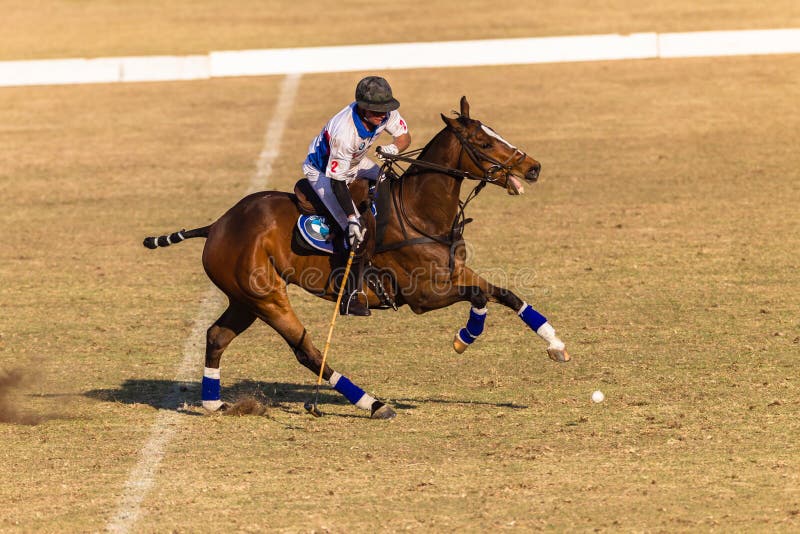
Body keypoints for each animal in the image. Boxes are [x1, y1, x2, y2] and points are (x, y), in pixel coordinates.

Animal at [143, 96, 570, 419]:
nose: (533, 168)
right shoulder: (424, 295)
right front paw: (464, 337)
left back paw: (213, 403)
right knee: (306, 350)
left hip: (244, 299)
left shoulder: (456, 272)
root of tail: (217, 225)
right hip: (266, 297)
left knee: (216, 335)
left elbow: (506, 293)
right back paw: (372, 403)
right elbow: (482, 296)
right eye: (482, 143)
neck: (420, 211)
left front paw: (555, 345)